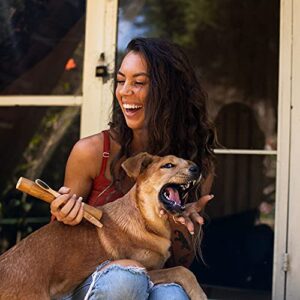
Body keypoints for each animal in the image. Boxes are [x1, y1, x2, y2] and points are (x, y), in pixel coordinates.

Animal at [0, 154, 206, 298]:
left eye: (188, 162)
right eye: (168, 165)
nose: (197, 168)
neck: (145, 219)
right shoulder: (149, 270)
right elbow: (182, 270)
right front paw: (199, 294)